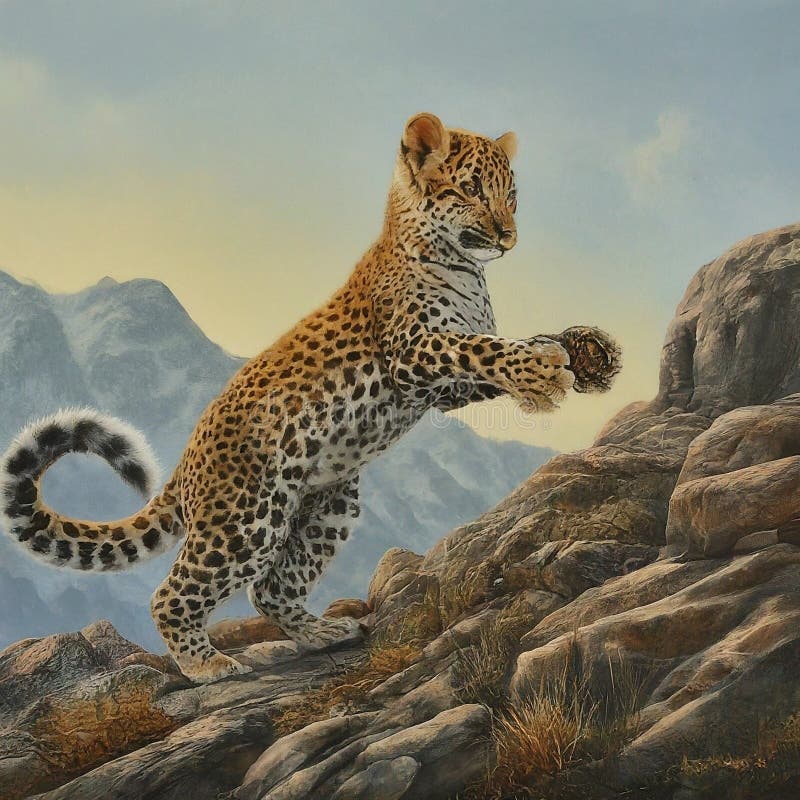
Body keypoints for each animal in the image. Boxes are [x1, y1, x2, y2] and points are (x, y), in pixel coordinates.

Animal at [0, 113, 621, 684]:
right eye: (470, 189)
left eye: (510, 194)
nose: (508, 236)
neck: (466, 269)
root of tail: (187, 462)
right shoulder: (413, 352)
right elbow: (480, 348)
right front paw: (542, 371)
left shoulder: (443, 387)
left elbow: (496, 347)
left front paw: (586, 351)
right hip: (243, 519)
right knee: (173, 593)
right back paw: (206, 665)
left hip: (325, 507)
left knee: (272, 590)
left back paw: (323, 632)